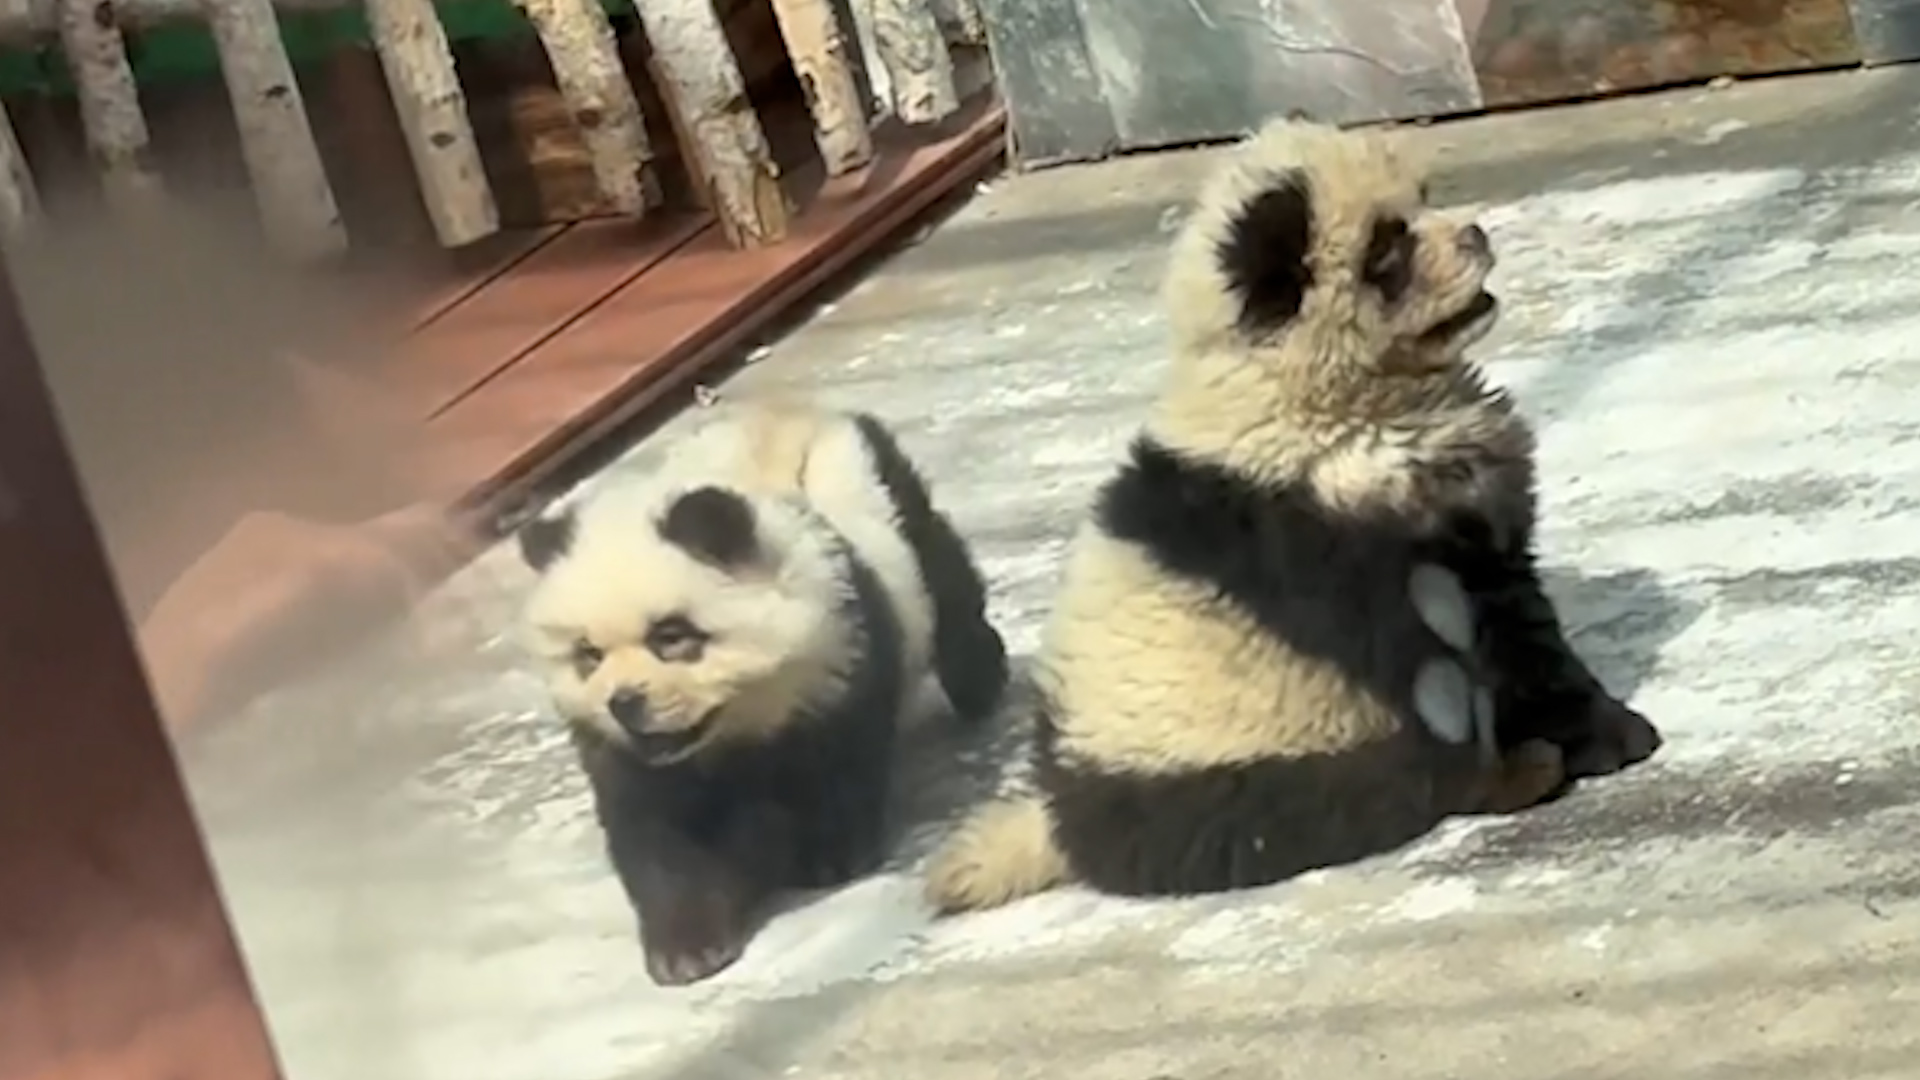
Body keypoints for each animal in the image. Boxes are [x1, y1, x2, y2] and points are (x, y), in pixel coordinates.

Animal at [516, 399, 1009, 983]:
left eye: (671, 636)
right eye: (587, 655)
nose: (625, 704)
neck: (728, 730)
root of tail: (792, 412)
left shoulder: (837, 652)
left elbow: (837, 767)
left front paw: (827, 859)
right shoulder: (626, 754)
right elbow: (655, 834)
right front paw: (687, 950)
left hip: (885, 493)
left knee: (943, 577)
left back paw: (982, 679)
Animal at [923, 117, 1662, 914]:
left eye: (1421, 200)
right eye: (1386, 249)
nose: (1474, 234)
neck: (1310, 396)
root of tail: (1059, 824)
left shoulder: (1465, 521)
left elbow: (1519, 619)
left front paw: (1604, 732)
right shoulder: (1336, 541)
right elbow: (1447, 669)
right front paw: (1555, 751)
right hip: (1229, 774)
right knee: (1352, 792)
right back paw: (1505, 775)